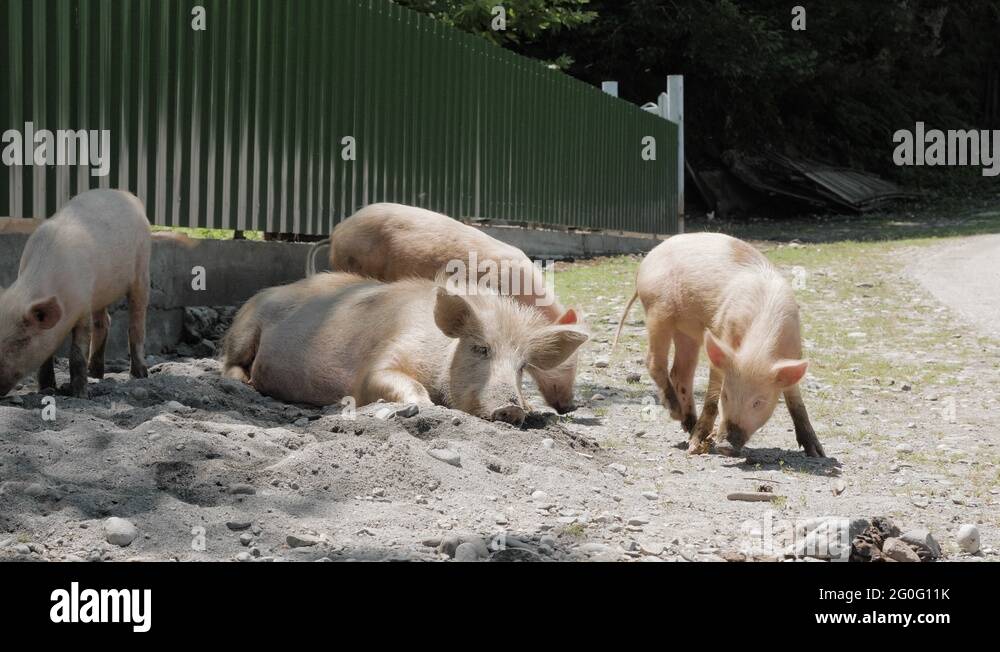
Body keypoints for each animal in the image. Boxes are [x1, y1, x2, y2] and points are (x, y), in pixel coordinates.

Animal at [0, 189, 190, 398]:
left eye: (20, 341)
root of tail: (128, 195)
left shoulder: (83, 304)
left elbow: (77, 352)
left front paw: (79, 395)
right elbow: (46, 358)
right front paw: (47, 389)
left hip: (142, 267)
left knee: (137, 322)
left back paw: (139, 374)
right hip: (100, 293)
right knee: (105, 322)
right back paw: (95, 374)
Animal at [222, 272, 589, 426]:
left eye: (522, 366)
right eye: (480, 348)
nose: (510, 409)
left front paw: (531, 408)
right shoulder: (381, 361)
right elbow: (388, 380)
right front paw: (423, 406)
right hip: (245, 327)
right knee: (230, 362)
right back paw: (243, 383)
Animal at [613, 233, 825, 457]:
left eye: (758, 402)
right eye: (726, 395)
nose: (725, 446)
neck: (757, 351)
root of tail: (646, 261)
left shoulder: (793, 352)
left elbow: (796, 403)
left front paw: (817, 453)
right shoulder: (723, 337)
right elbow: (711, 399)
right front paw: (695, 447)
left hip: (686, 331)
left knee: (680, 373)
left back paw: (688, 424)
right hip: (657, 309)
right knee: (654, 362)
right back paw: (678, 414)